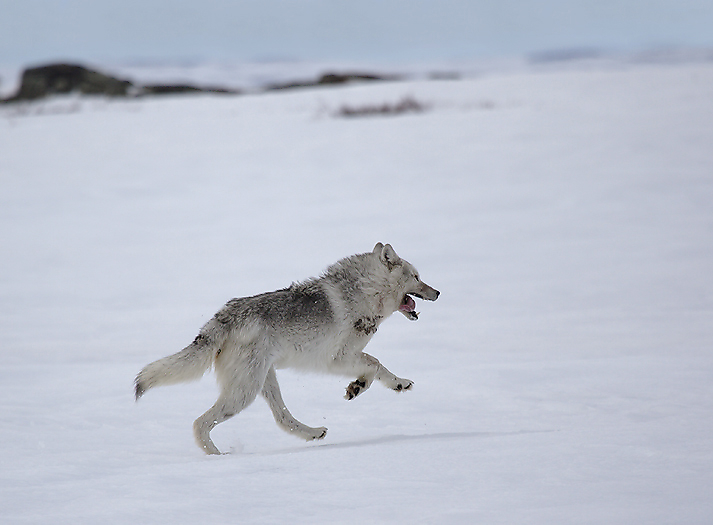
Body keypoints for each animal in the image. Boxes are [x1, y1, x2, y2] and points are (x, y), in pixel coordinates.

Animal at [135, 243, 439, 454]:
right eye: (416, 277)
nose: (437, 292)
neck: (365, 291)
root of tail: (223, 316)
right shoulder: (337, 358)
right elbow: (375, 364)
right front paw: (366, 386)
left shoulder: (345, 358)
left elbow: (377, 369)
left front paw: (387, 384)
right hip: (245, 393)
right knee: (200, 423)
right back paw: (219, 458)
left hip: (262, 383)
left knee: (283, 418)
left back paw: (314, 433)